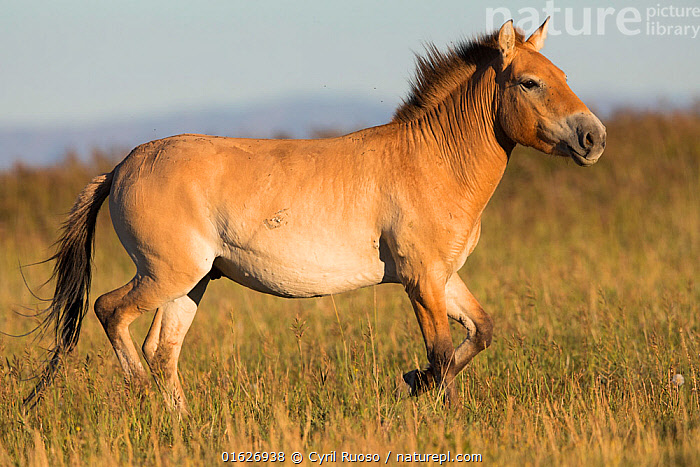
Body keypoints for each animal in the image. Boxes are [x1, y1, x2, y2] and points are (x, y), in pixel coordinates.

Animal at [25, 19, 605, 413]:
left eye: (562, 74)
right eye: (529, 82)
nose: (593, 137)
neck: (431, 159)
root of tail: (122, 166)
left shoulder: (443, 276)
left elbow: (480, 332)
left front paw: (412, 381)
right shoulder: (420, 280)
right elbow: (442, 354)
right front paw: (436, 403)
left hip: (191, 283)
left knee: (162, 348)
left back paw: (179, 423)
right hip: (165, 274)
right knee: (110, 311)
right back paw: (143, 398)